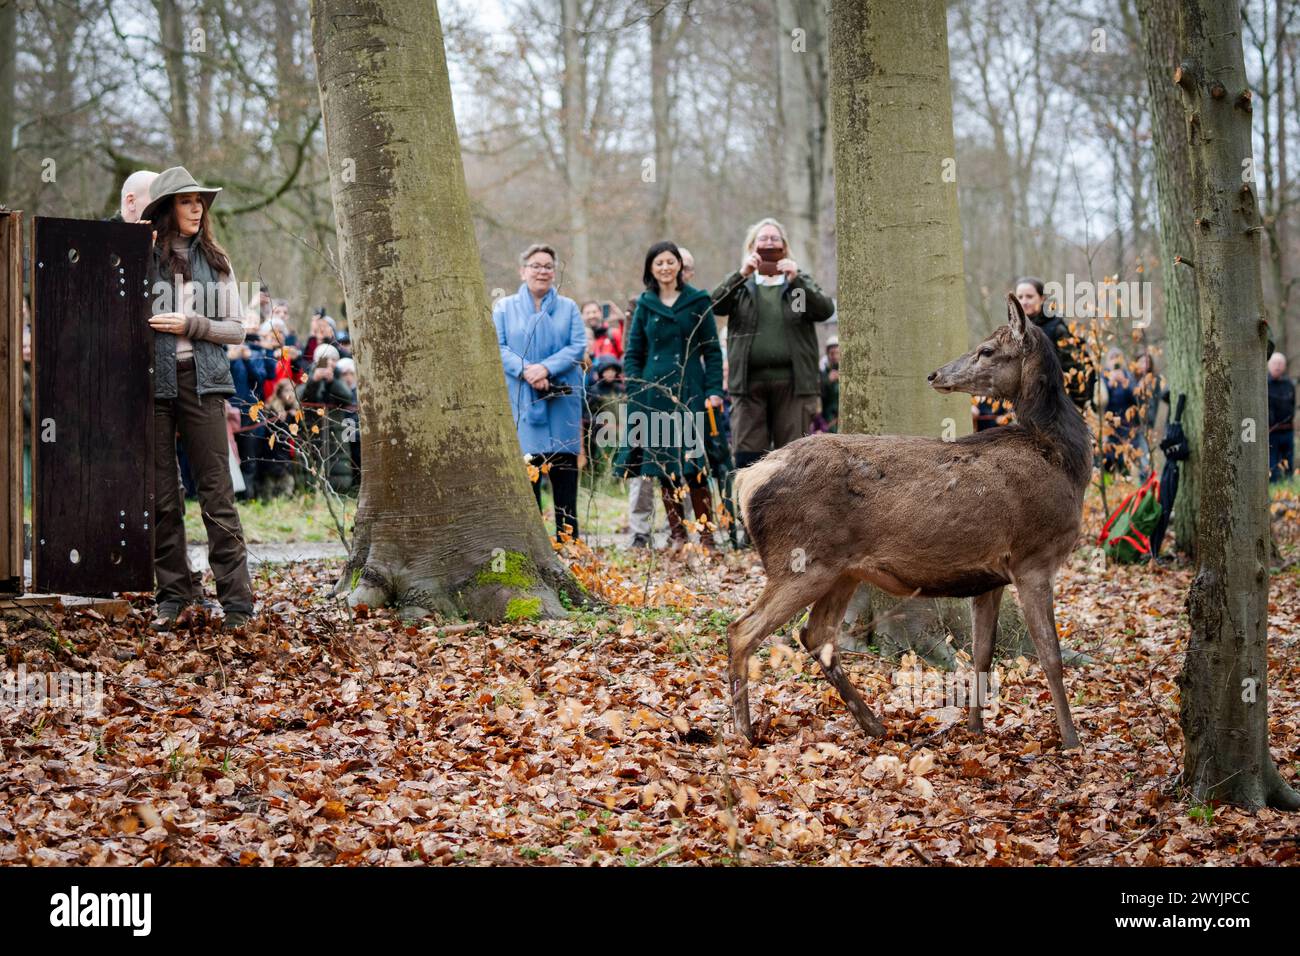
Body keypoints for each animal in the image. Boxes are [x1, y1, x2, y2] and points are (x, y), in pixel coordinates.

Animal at [729, 294, 1092, 750]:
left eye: (987, 350)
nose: (936, 374)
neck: (1064, 460)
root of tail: (747, 478)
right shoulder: (1034, 557)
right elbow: (1051, 656)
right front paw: (1071, 741)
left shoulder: (991, 576)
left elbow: (982, 654)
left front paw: (975, 729)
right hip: (800, 559)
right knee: (742, 630)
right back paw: (744, 732)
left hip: (842, 569)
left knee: (816, 634)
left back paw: (874, 724)